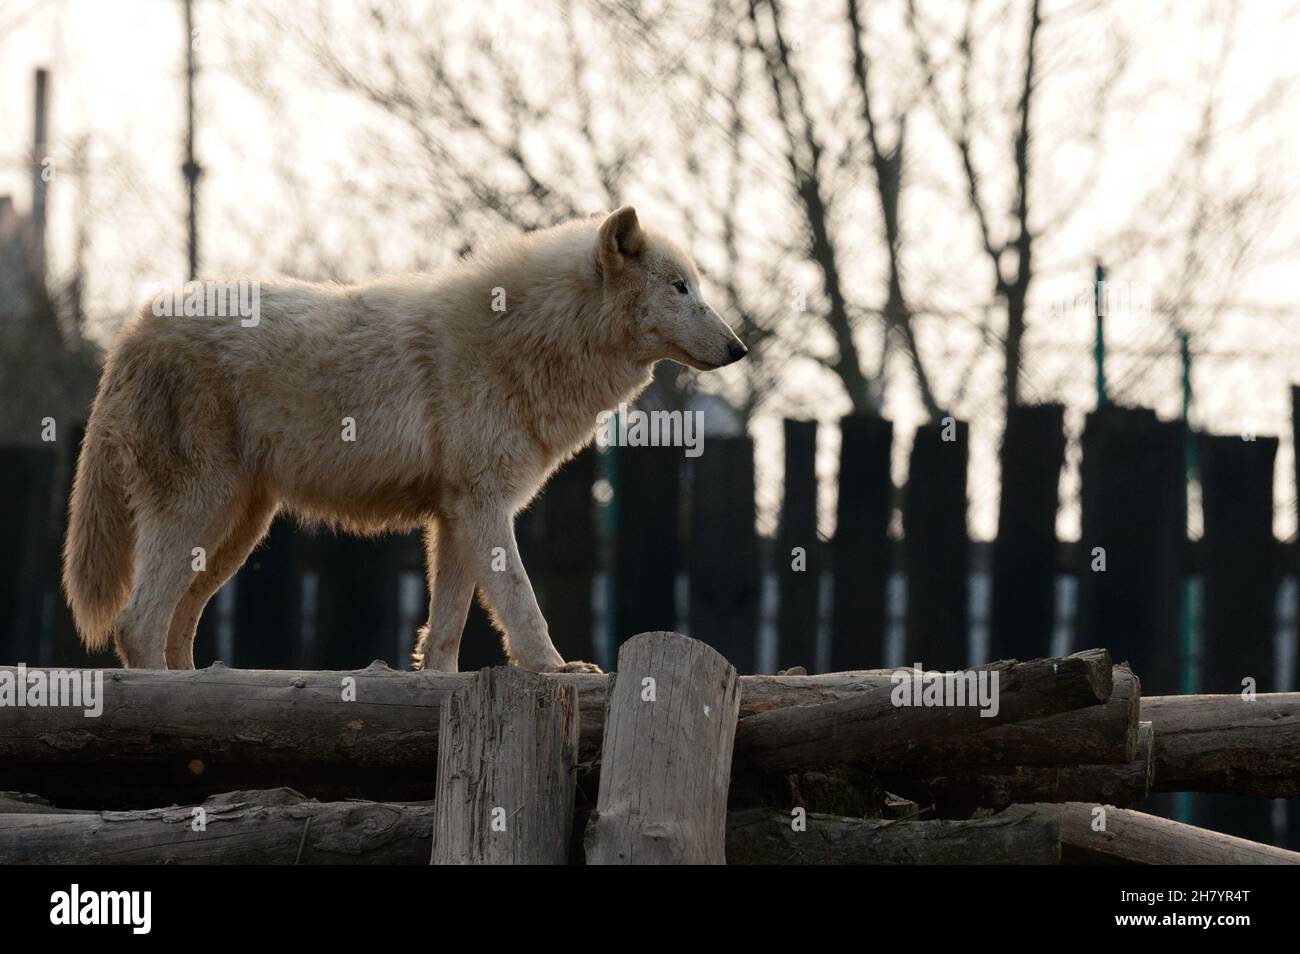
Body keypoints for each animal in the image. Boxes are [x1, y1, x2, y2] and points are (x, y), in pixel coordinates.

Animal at [62, 206, 747, 672]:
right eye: (681, 288)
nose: (740, 348)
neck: (530, 340)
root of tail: (132, 329)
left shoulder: (456, 514)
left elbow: (445, 630)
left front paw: (441, 684)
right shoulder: (482, 506)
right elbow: (521, 602)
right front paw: (556, 670)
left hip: (235, 530)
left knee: (176, 624)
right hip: (203, 514)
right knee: (137, 623)